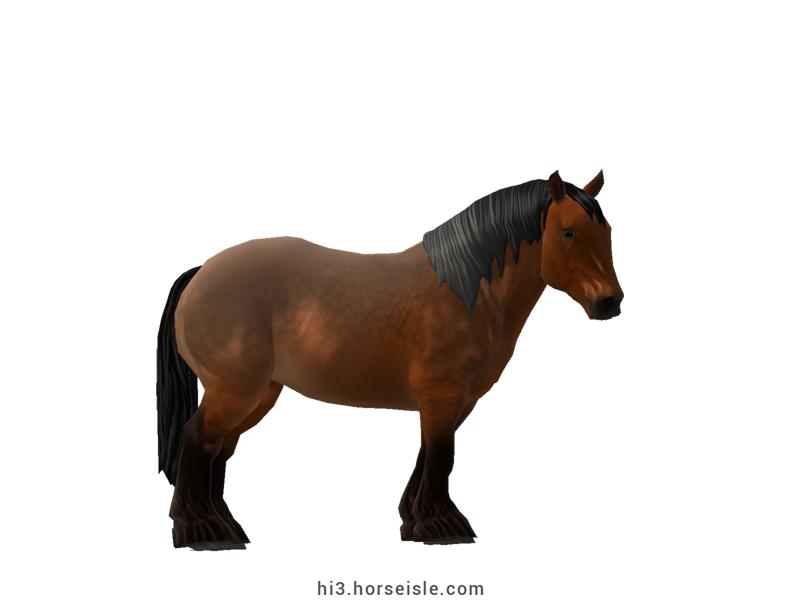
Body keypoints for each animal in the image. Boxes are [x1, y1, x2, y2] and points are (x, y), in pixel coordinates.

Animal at [156, 171, 623, 544]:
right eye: (569, 232)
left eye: (602, 228)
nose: (608, 301)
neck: (470, 293)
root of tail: (200, 275)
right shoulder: (442, 395)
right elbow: (440, 455)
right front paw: (442, 523)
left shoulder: (453, 402)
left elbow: (427, 453)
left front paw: (416, 519)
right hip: (233, 390)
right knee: (198, 439)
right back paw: (202, 528)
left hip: (249, 393)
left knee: (218, 448)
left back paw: (227, 525)